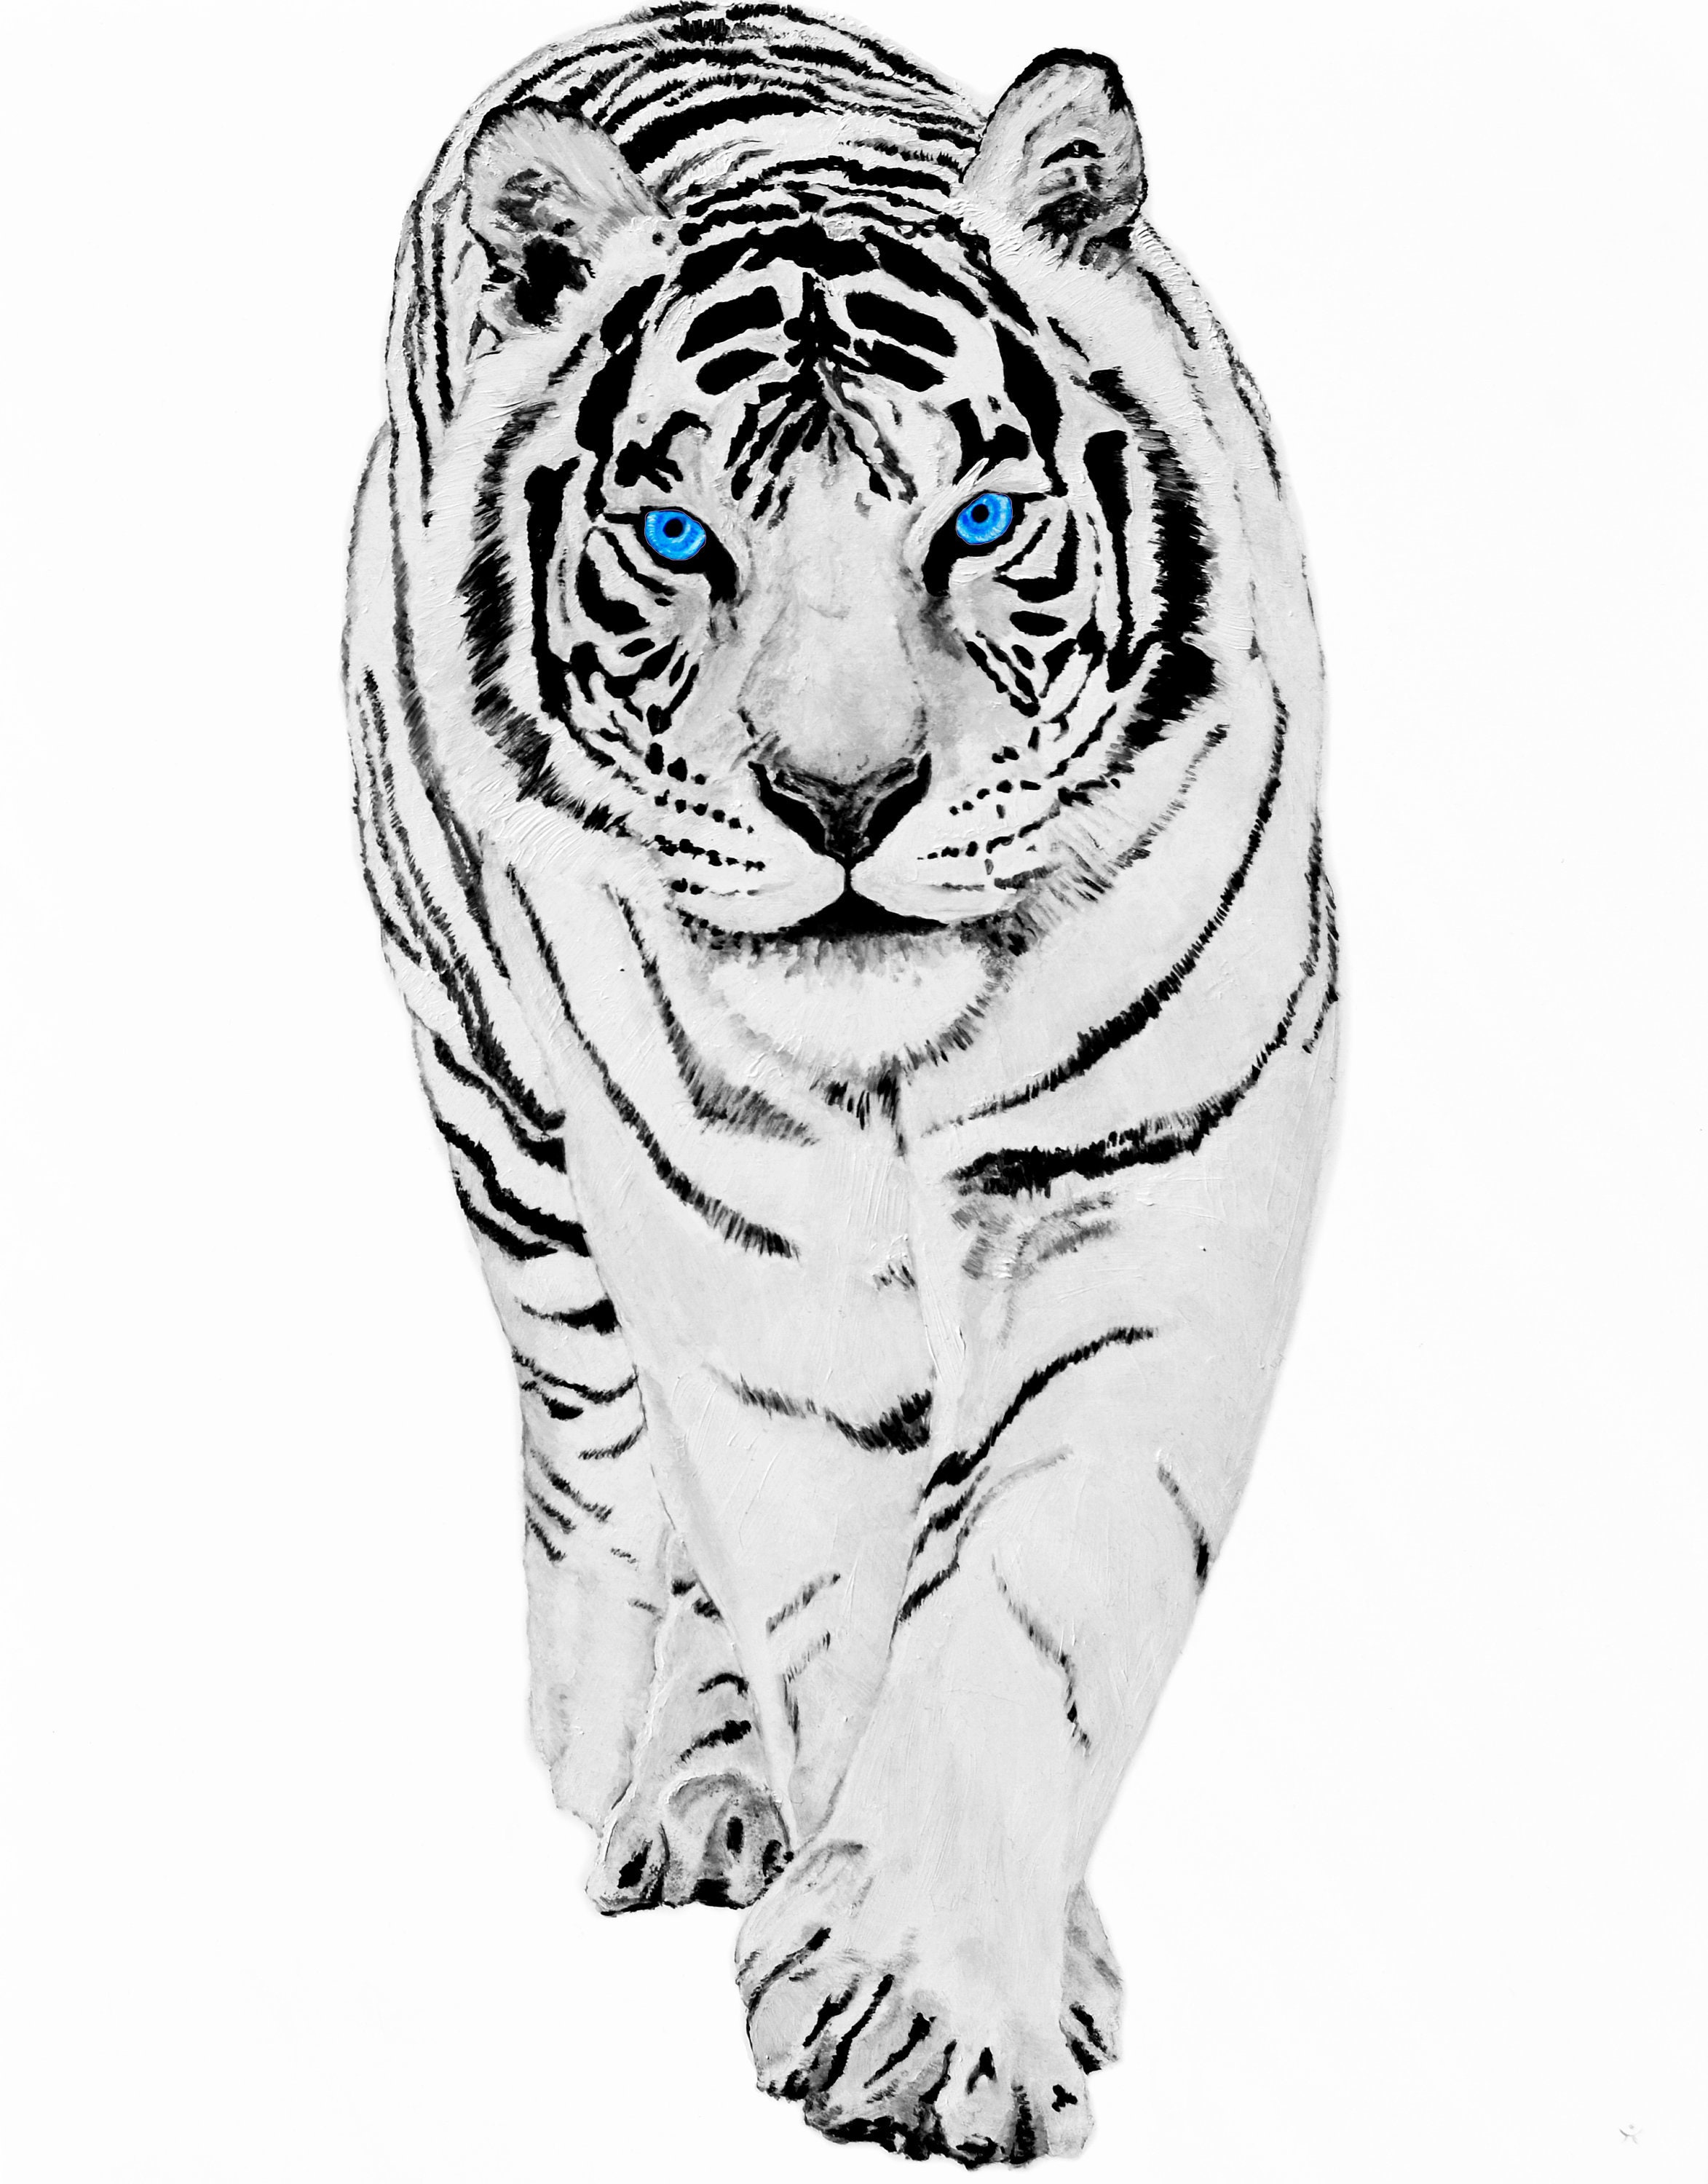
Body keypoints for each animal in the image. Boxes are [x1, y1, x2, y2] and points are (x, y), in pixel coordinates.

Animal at [343, 0, 1337, 2164]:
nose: (844, 800)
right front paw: (922, 1986)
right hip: (499, 1111)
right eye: (676, 537)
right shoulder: (744, 1251)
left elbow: (1039, 1586)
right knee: (600, 1461)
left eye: (972, 522)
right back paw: (633, 1761)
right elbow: (824, 1579)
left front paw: (935, 2004)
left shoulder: (1163, 1173)